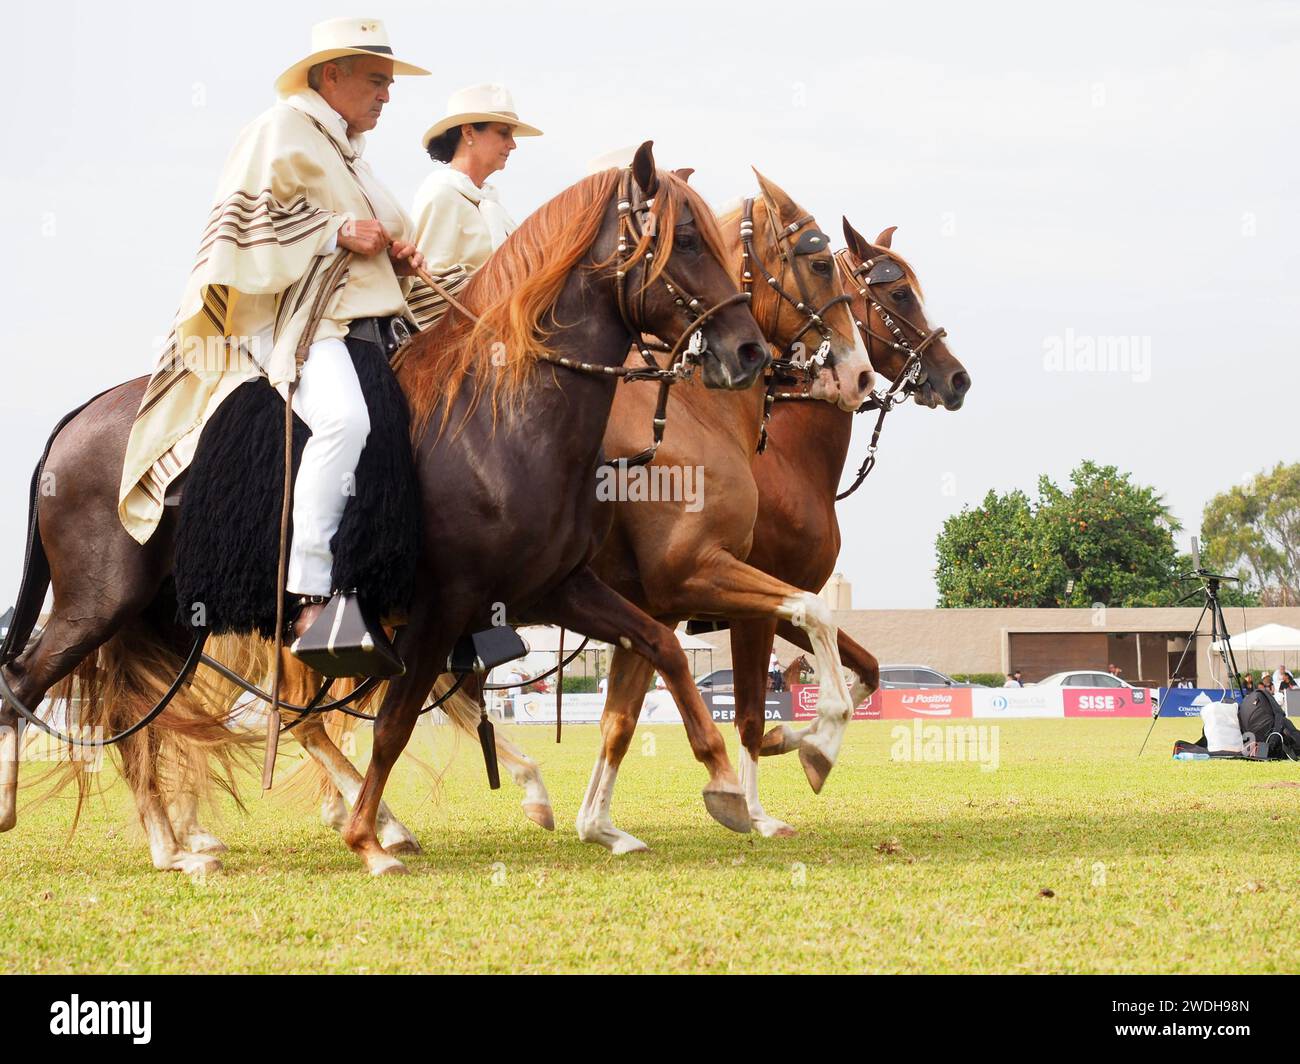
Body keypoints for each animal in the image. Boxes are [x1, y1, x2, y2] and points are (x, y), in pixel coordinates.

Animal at [0, 142, 771, 875]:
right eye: (688, 240)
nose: (749, 351)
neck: (500, 418)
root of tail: (78, 418)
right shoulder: (443, 604)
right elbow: (396, 724)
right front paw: (367, 840)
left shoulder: (557, 588)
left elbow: (660, 644)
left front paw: (726, 788)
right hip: (98, 604)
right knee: (25, 682)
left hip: (153, 619)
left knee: (129, 717)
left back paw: (173, 847)